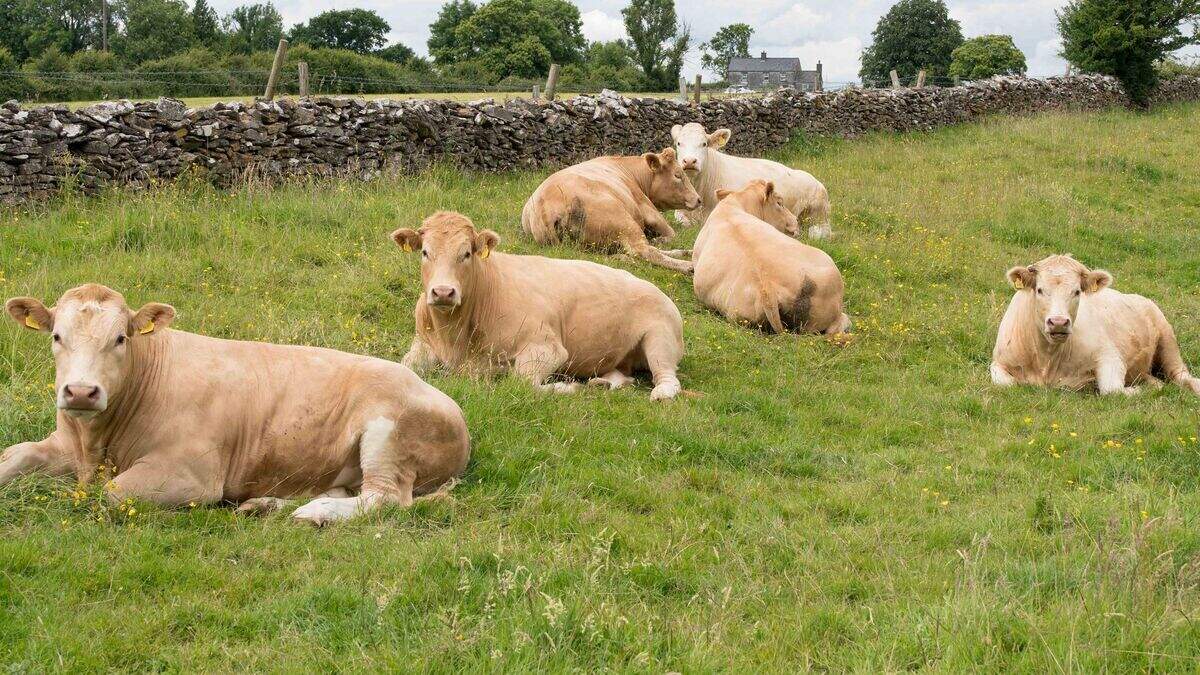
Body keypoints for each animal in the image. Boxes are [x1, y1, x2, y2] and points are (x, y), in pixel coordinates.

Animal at [1, 284, 470, 525]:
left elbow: (113, 494)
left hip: (387, 436)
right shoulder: (64, 444)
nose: (81, 392)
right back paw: (266, 505)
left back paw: (314, 512)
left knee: (385, 498)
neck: (95, 446)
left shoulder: (191, 475)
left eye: (120, 338)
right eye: (56, 336)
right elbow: (15, 454)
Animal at [393, 211, 685, 400]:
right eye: (425, 252)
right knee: (621, 378)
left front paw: (566, 388)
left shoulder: (547, 347)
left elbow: (522, 383)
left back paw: (659, 393)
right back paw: (600, 383)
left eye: (466, 253)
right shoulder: (422, 344)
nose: (443, 292)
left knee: (667, 377)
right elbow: (404, 367)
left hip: (661, 337)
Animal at [520, 147, 703, 274]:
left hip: (590, 247)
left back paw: (686, 252)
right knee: (644, 251)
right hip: (625, 222)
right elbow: (671, 234)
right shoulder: (648, 209)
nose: (699, 199)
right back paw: (688, 265)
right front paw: (661, 239)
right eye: (678, 175)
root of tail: (545, 207)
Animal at [671, 122, 833, 240]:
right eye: (679, 143)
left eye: (704, 144)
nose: (689, 161)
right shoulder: (680, 212)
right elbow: (683, 222)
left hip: (819, 216)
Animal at [990, 255, 1200, 396]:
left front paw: (1137, 390)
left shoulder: (1110, 356)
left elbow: (1112, 390)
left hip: (1167, 338)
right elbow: (1008, 384)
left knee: (1181, 375)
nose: (1058, 322)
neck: (1046, 360)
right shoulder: (998, 362)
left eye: (1076, 291)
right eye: (1040, 290)